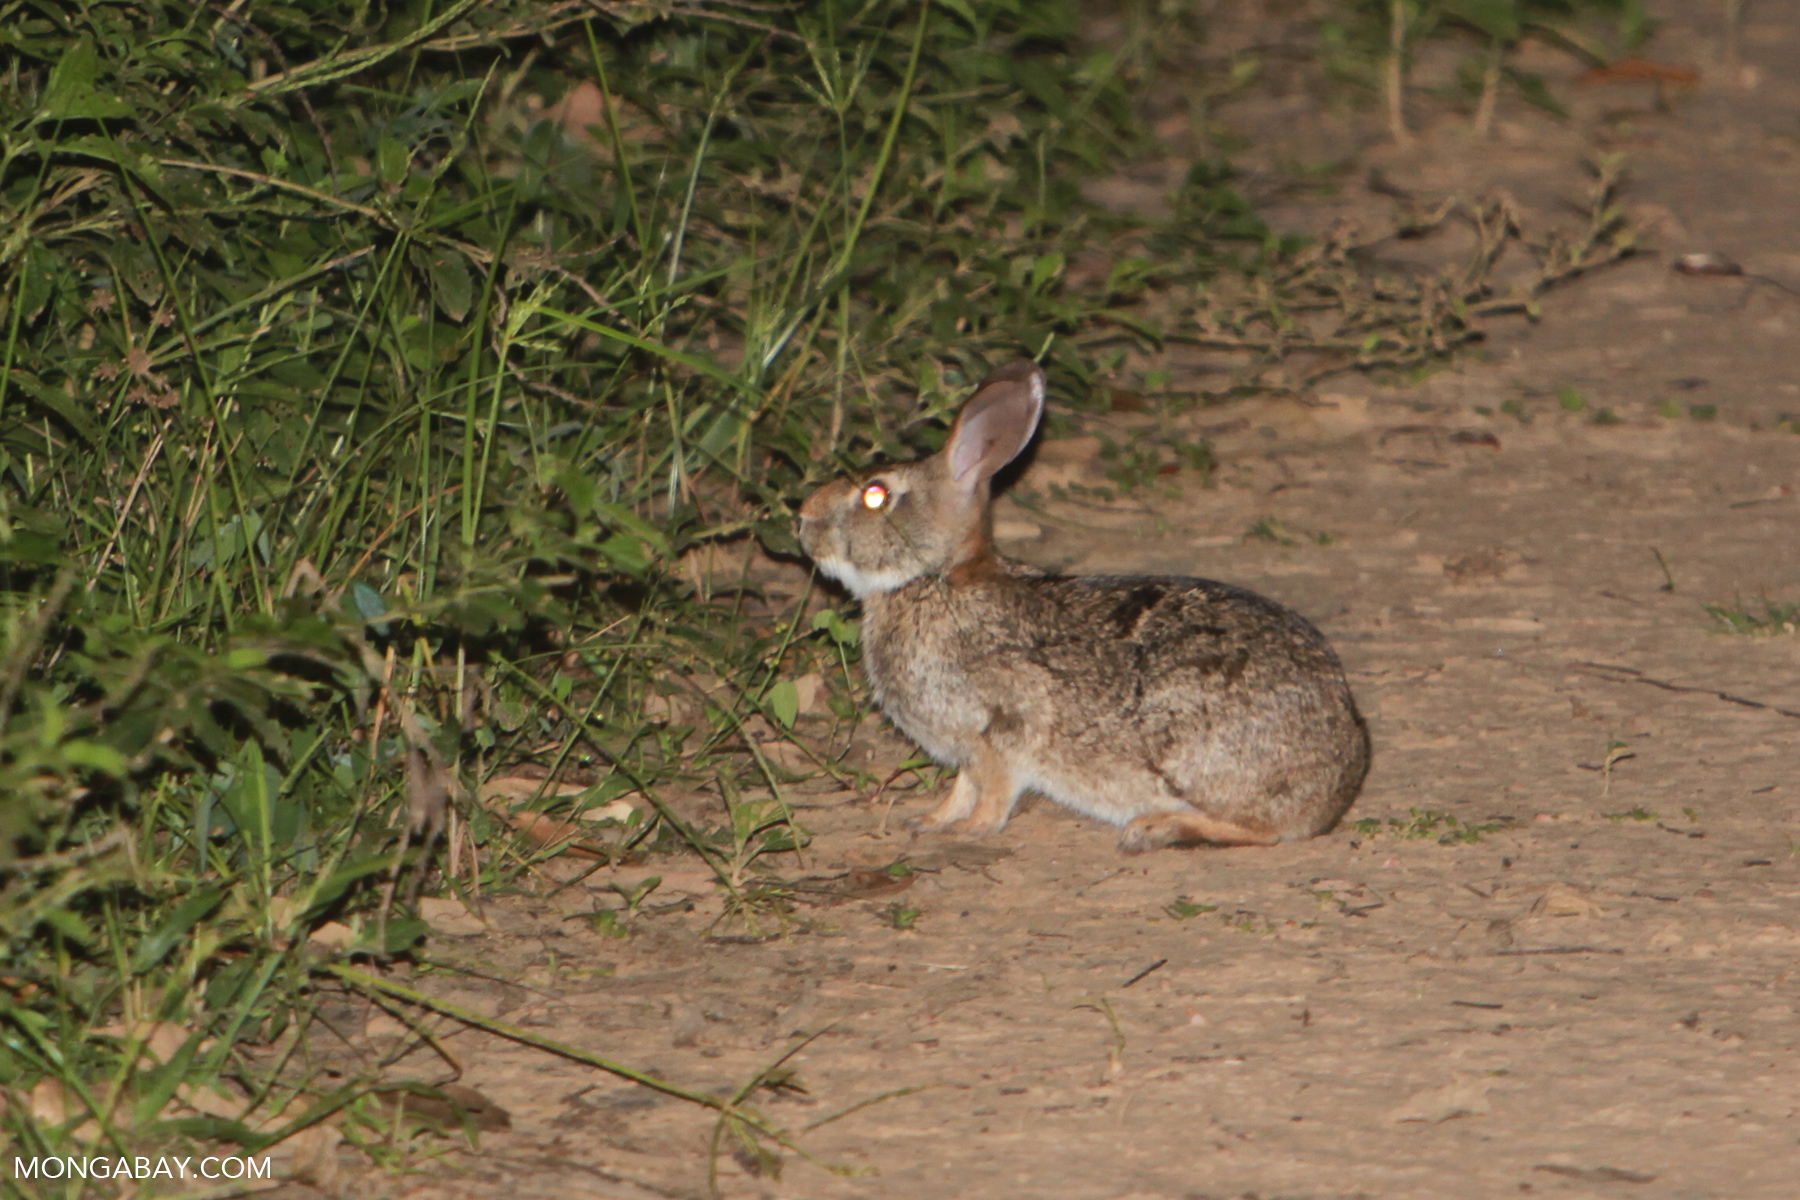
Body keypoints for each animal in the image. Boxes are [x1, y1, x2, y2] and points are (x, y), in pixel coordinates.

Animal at [797, 360, 1369, 852]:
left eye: (875, 496)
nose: (802, 521)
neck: (932, 580)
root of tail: (1340, 774)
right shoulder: (967, 748)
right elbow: (962, 787)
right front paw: (931, 822)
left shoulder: (1001, 727)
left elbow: (994, 791)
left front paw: (970, 831)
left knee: (1267, 828)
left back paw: (1156, 828)